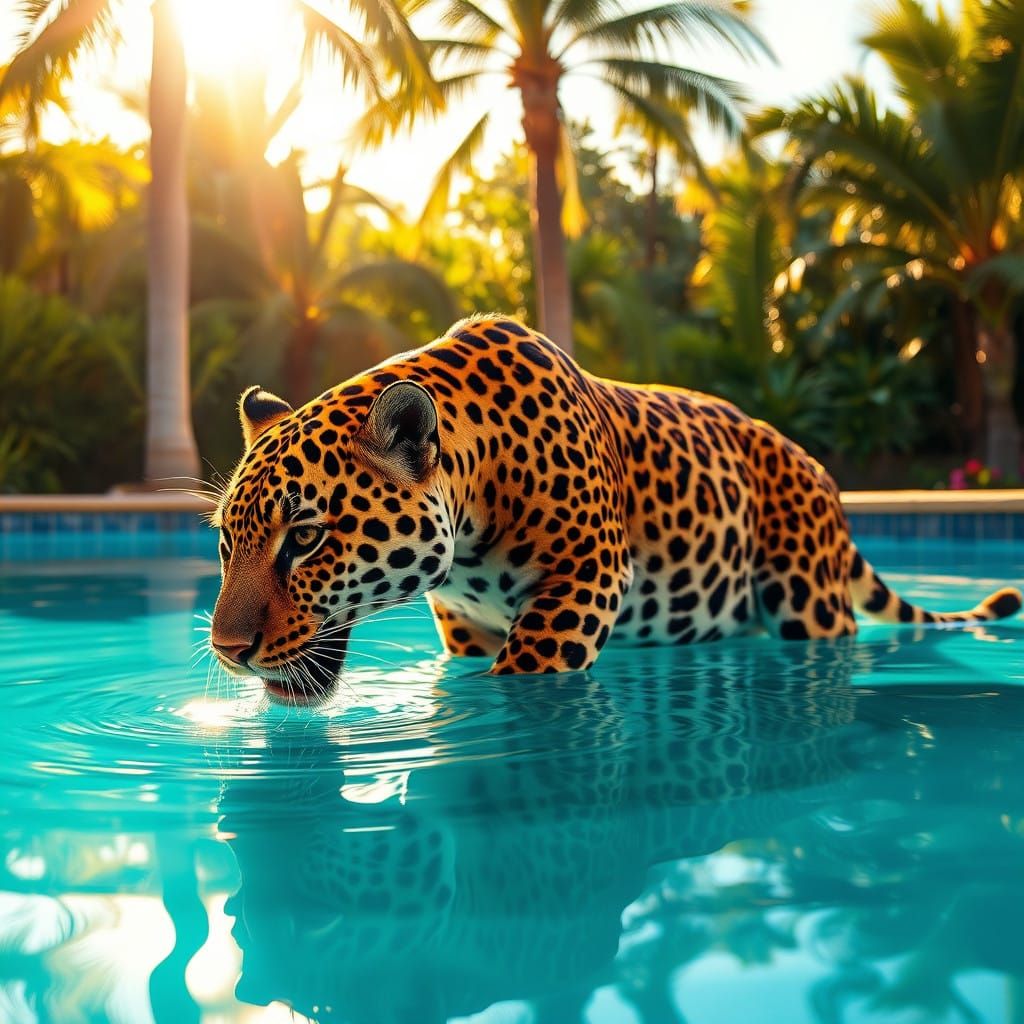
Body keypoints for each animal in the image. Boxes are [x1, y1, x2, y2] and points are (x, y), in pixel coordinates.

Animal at [209, 315, 1022, 700]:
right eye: (226, 543)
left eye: (305, 537)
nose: (226, 651)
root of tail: (817, 470)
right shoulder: (466, 625)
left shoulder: (585, 579)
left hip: (806, 599)